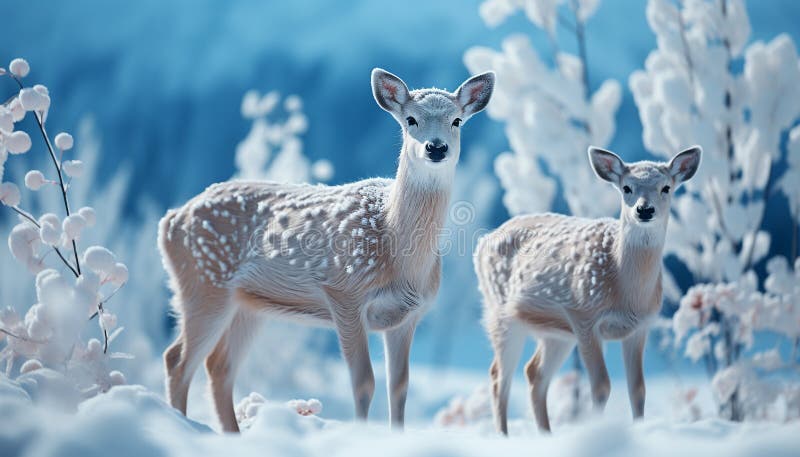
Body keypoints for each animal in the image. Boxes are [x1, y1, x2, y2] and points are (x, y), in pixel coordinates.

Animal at [158, 68, 495, 432]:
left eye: (457, 120)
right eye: (411, 120)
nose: (436, 147)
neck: (395, 250)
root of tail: (170, 221)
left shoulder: (408, 316)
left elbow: (399, 387)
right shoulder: (343, 293)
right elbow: (363, 382)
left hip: (247, 303)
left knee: (219, 366)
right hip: (204, 283)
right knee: (177, 359)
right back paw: (179, 425)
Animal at [475, 146, 702, 434]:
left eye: (666, 187)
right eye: (626, 187)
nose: (644, 209)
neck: (627, 292)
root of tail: (483, 241)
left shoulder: (640, 327)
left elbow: (638, 389)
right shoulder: (584, 316)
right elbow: (601, 387)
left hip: (557, 332)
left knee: (534, 372)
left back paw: (546, 434)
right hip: (501, 313)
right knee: (498, 375)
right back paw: (504, 436)